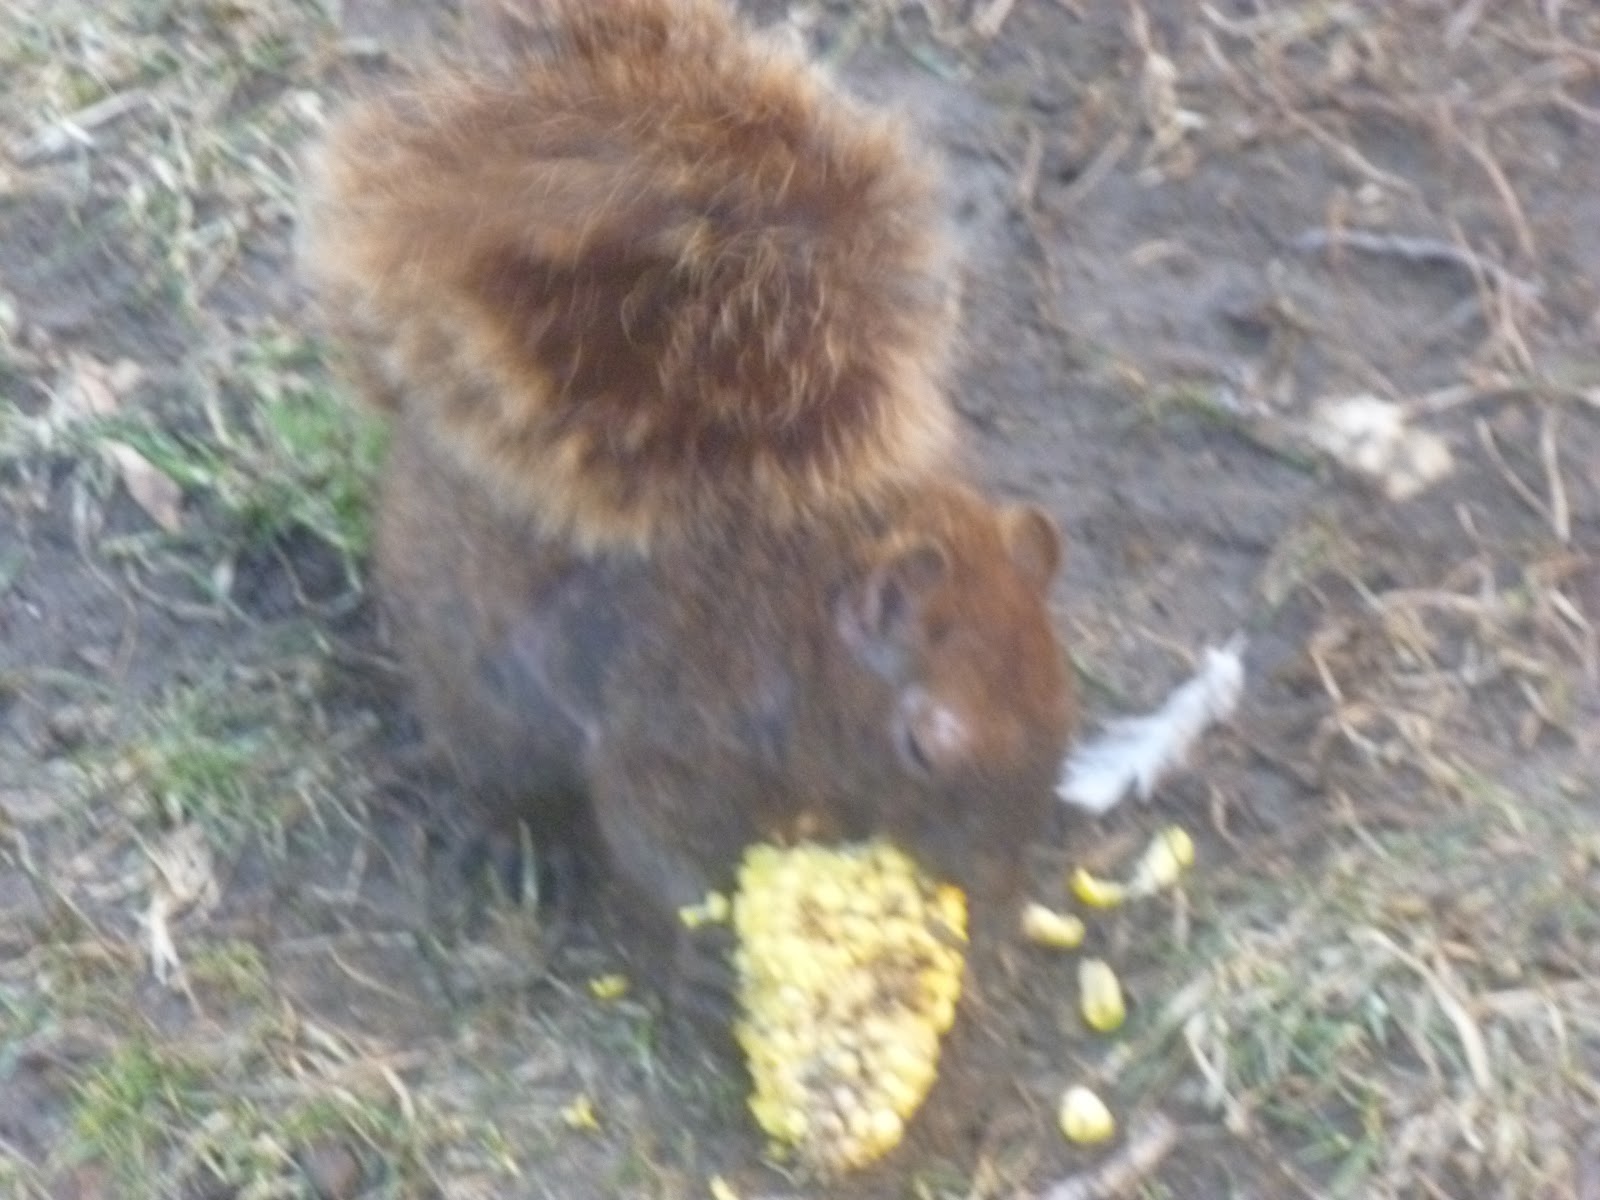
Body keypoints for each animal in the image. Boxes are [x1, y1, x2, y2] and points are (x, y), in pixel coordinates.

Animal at [301, 0, 1075, 1027]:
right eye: (921, 745)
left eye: (1066, 717)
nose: (995, 891)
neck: (801, 623)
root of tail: (415, 434)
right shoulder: (675, 724)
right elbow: (654, 835)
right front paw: (708, 952)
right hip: (473, 686)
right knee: (490, 765)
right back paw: (515, 841)